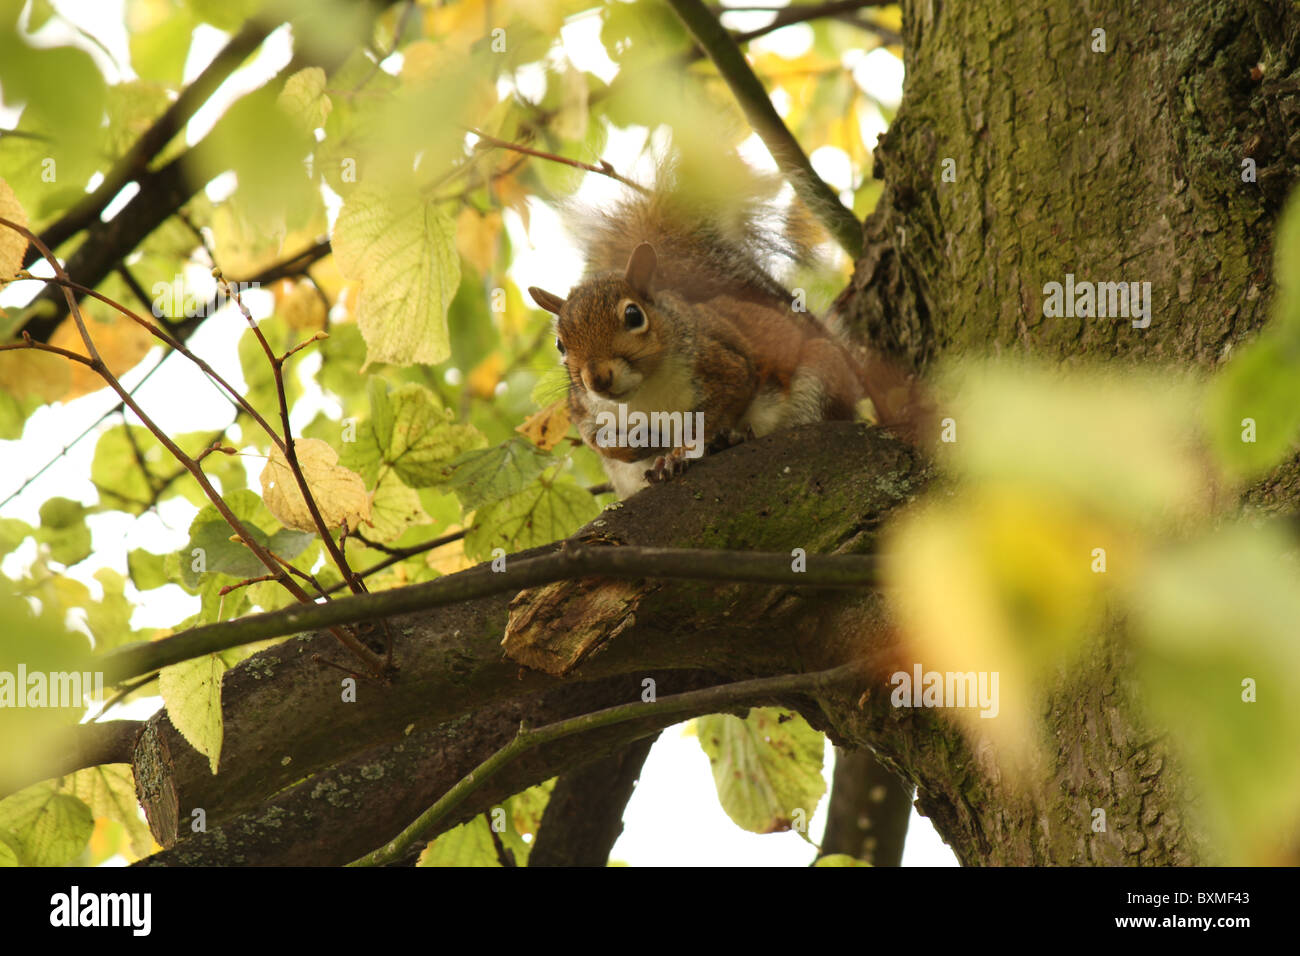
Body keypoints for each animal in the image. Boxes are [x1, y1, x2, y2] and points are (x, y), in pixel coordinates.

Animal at [528, 161, 874, 499]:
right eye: (560, 344)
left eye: (633, 315)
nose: (597, 379)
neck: (644, 393)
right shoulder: (584, 408)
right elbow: (595, 439)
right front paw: (632, 445)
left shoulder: (724, 364)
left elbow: (713, 412)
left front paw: (678, 455)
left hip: (820, 379)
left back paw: (731, 439)